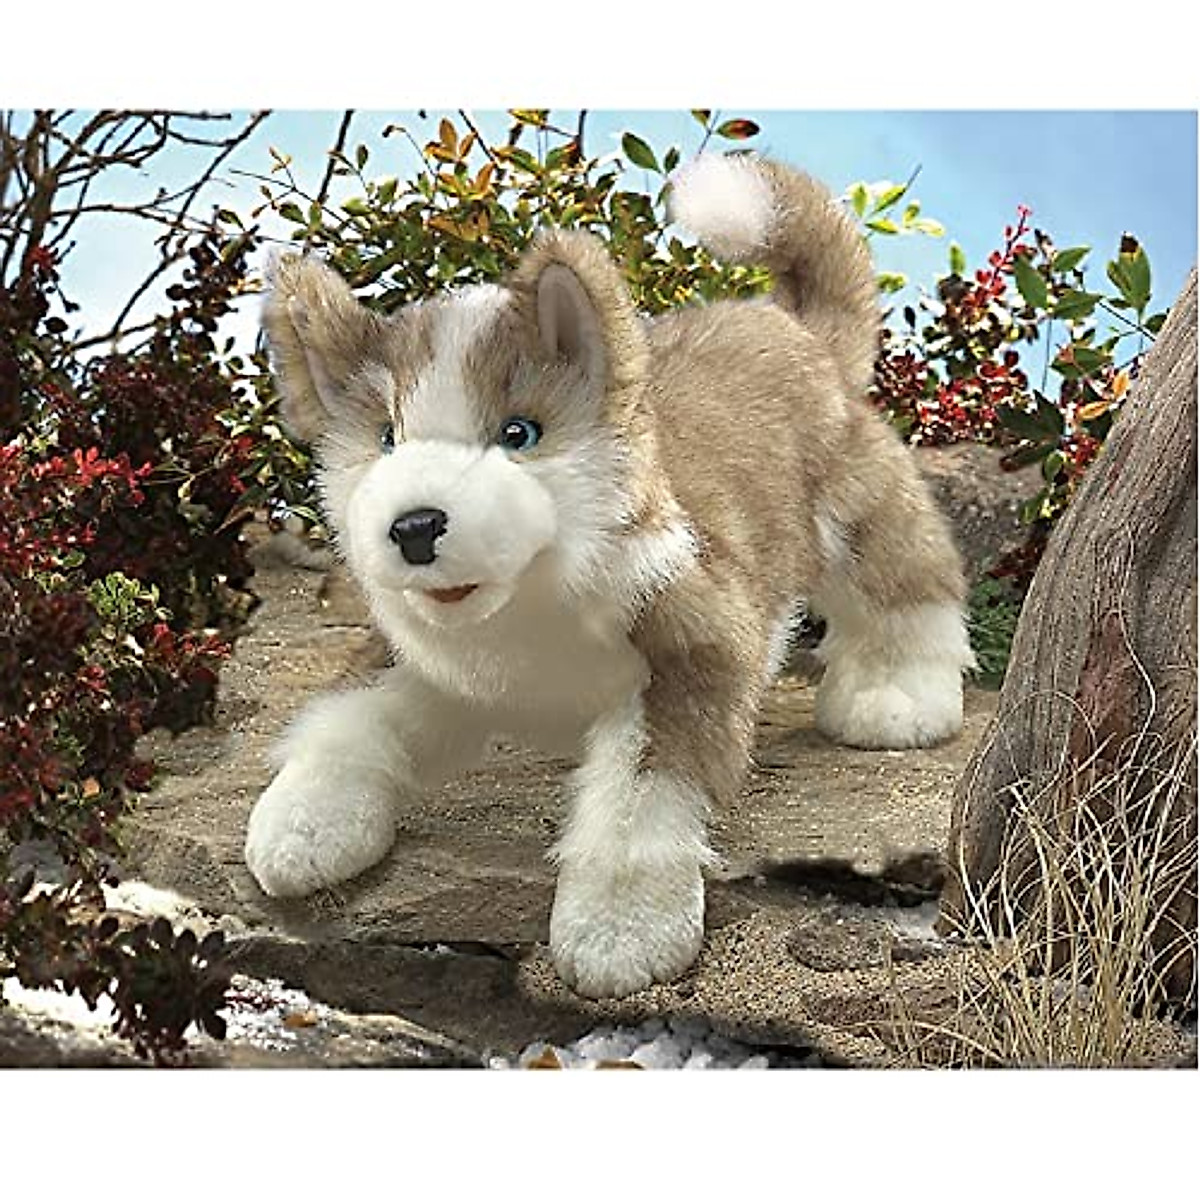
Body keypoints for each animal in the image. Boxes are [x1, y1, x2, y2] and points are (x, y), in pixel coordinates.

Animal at [244, 153, 973, 999]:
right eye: (386, 438)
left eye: (518, 434)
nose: (415, 527)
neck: (528, 608)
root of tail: (786, 323)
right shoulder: (423, 663)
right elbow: (348, 719)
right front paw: (303, 823)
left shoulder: (693, 652)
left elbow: (637, 807)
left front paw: (620, 931)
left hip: (857, 503)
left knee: (907, 582)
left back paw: (897, 697)